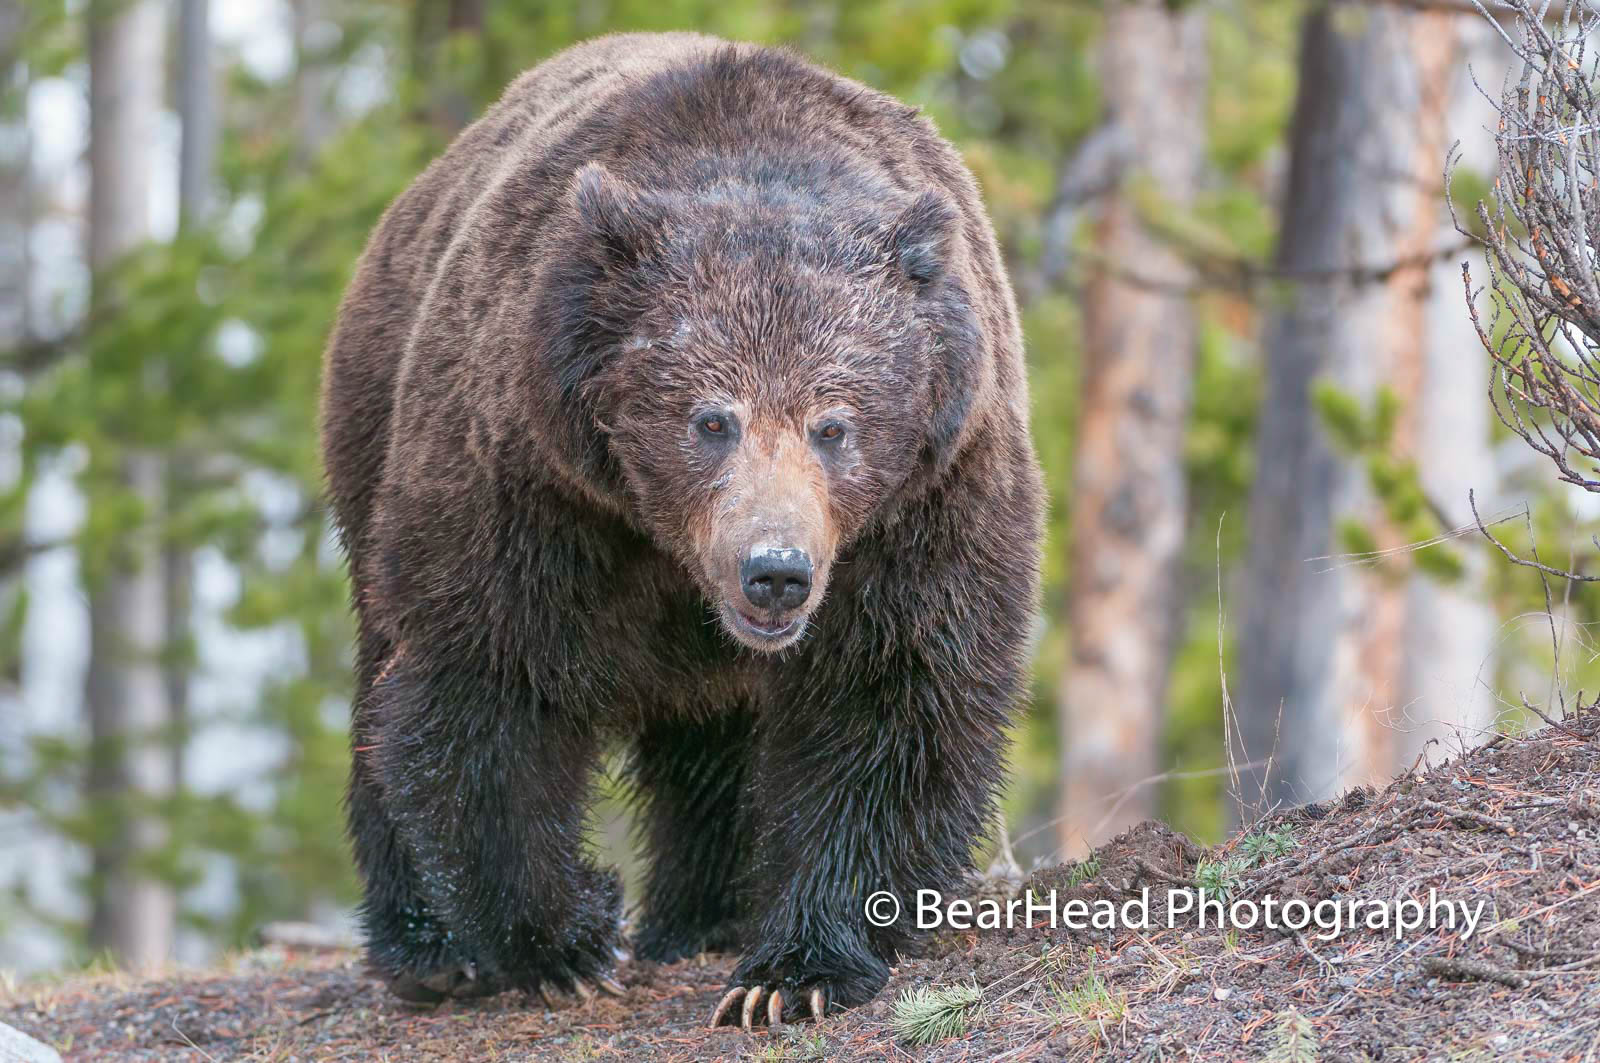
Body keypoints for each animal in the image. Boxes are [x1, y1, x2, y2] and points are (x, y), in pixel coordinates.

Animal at [319, 31, 1043, 1028]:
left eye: (834, 424)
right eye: (711, 418)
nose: (774, 570)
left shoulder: (928, 499)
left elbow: (891, 697)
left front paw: (792, 970)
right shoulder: (531, 475)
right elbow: (491, 682)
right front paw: (571, 940)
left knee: (713, 740)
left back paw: (706, 915)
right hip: (373, 417)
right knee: (383, 675)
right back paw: (430, 949)